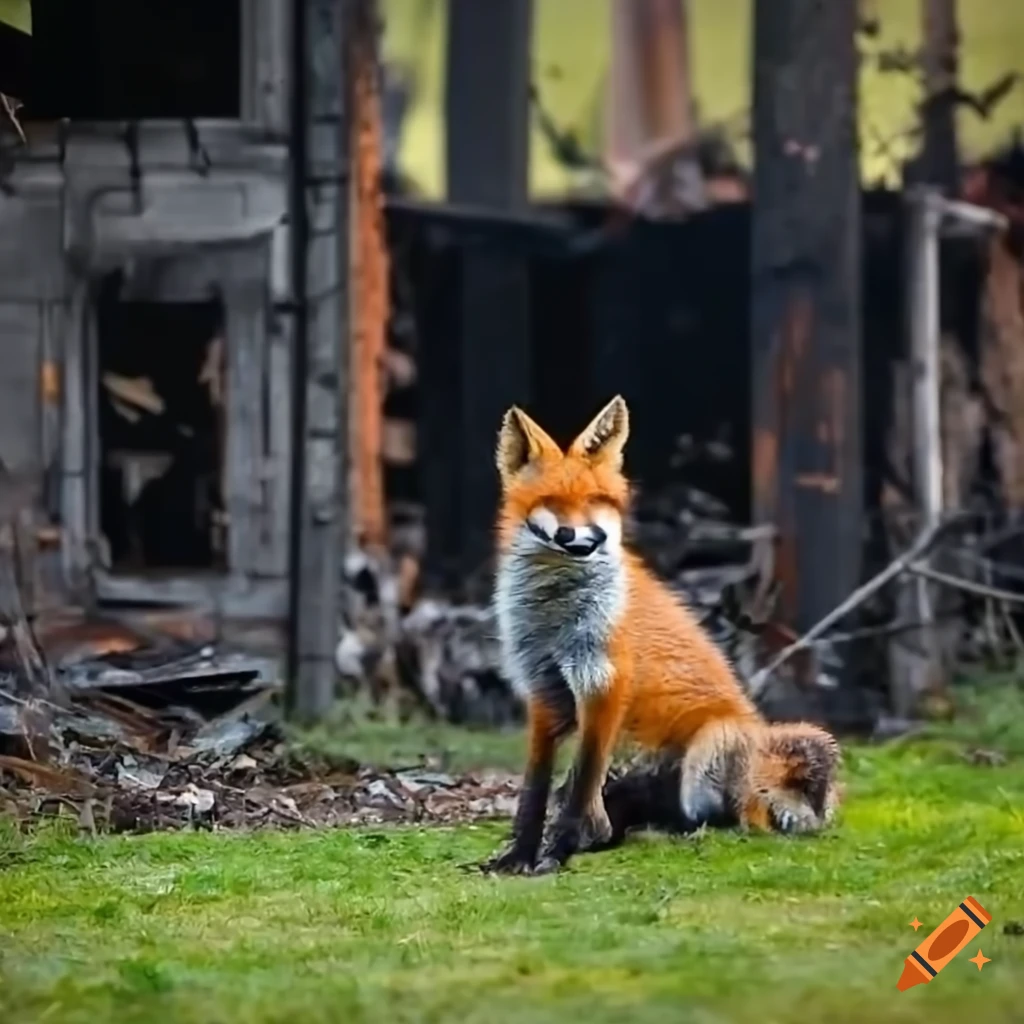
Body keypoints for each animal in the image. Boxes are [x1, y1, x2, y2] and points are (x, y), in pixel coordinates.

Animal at [482, 395, 842, 875]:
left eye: (597, 501)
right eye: (551, 501)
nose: (584, 540)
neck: (554, 613)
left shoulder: (603, 682)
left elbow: (579, 789)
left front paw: (557, 854)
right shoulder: (546, 691)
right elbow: (535, 792)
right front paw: (519, 856)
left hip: (706, 758)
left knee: (736, 822)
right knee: (624, 812)